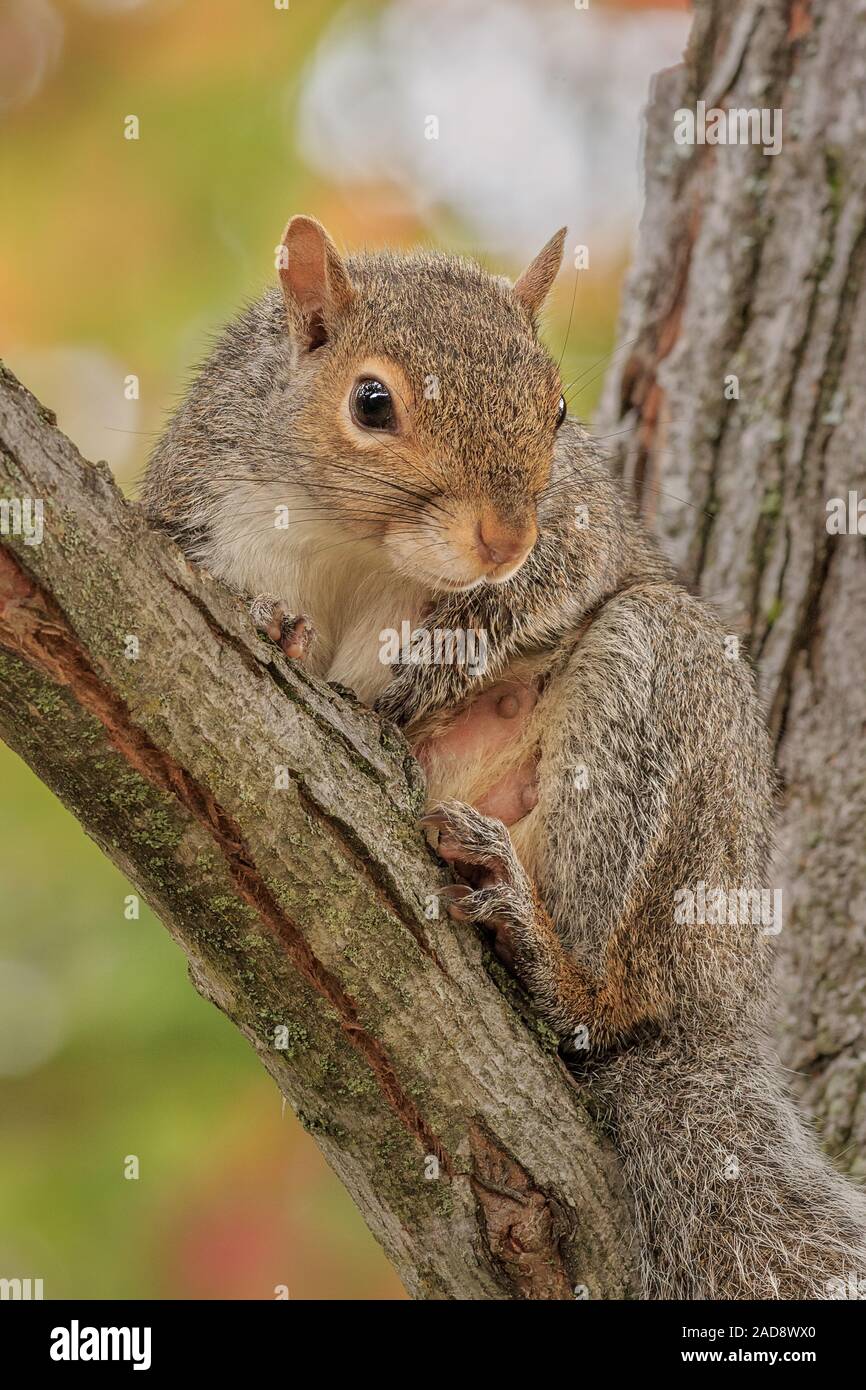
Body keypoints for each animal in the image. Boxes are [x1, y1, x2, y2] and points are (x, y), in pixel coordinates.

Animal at [143, 214, 866, 1299]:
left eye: (558, 410)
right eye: (371, 402)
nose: (502, 534)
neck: (356, 543)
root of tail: (721, 1003)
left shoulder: (569, 533)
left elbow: (521, 604)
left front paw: (398, 684)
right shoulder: (200, 497)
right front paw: (280, 623)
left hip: (665, 723)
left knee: (617, 1002)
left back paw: (549, 959)